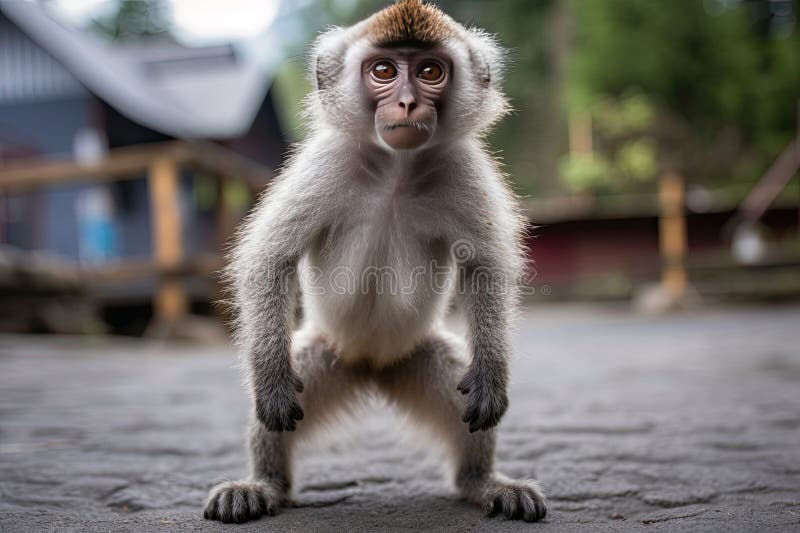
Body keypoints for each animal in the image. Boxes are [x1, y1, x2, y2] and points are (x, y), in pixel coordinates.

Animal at [203, 0, 547, 524]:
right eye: (383, 71)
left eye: (430, 72)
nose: (406, 103)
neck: (396, 169)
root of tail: (372, 365)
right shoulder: (326, 161)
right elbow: (269, 260)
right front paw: (270, 380)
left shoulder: (463, 167)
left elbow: (485, 268)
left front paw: (491, 374)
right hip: (325, 359)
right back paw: (264, 484)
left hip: (419, 360)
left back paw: (480, 481)